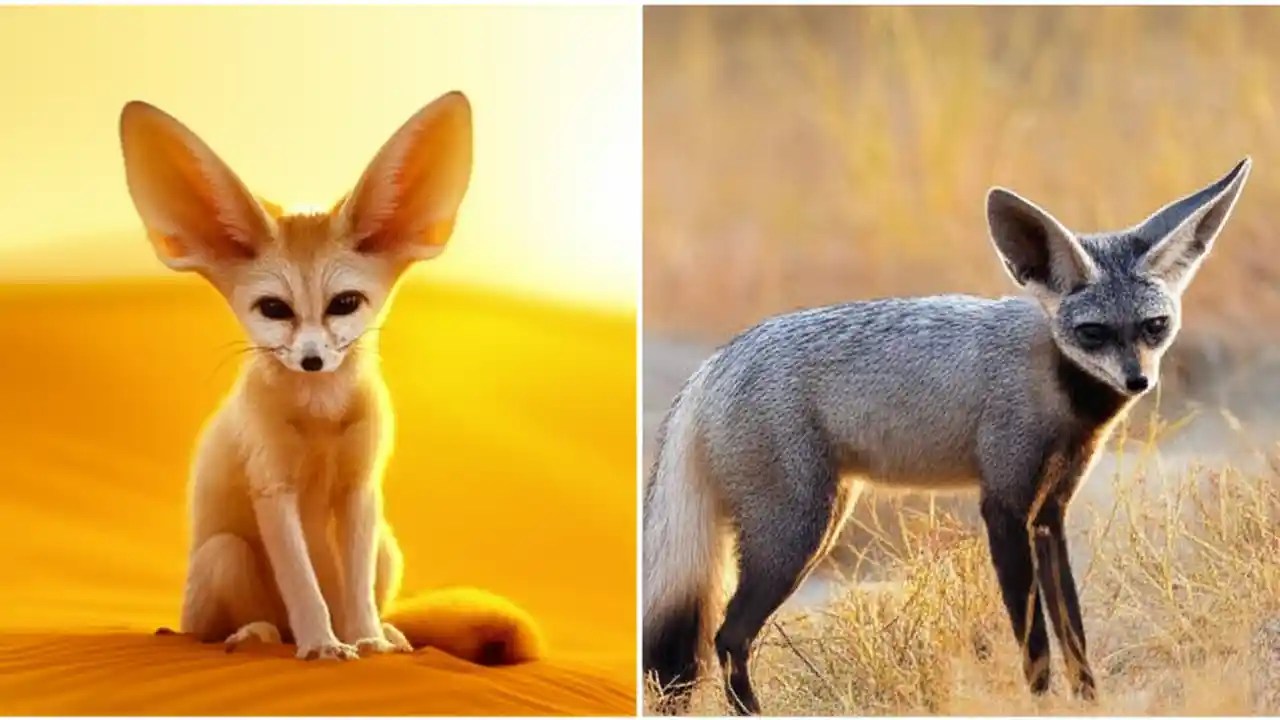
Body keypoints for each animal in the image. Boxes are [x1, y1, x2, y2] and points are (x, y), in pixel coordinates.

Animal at [119, 92, 543, 664]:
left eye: (345, 303)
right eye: (274, 309)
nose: (313, 360)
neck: (319, 417)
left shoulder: (361, 486)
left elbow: (355, 590)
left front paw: (367, 640)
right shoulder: (273, 487)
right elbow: (303, 584)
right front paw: (323, 645)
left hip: (387, 545)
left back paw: (385, 634)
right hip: (224, 557)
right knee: (248, 624)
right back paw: (259, 635)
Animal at [643, 159, 1252, 714]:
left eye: (1155, 326)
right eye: (1093, 333)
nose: (1138, 381)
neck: (1055, 382)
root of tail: (714, 363)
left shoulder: (1049, 514)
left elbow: (1072, 630)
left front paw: (1090, 702)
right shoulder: (1003, 506)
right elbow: (1033, 639)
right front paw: (1039, 704)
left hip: (820, 520)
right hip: (797, 536)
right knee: (727, 636)